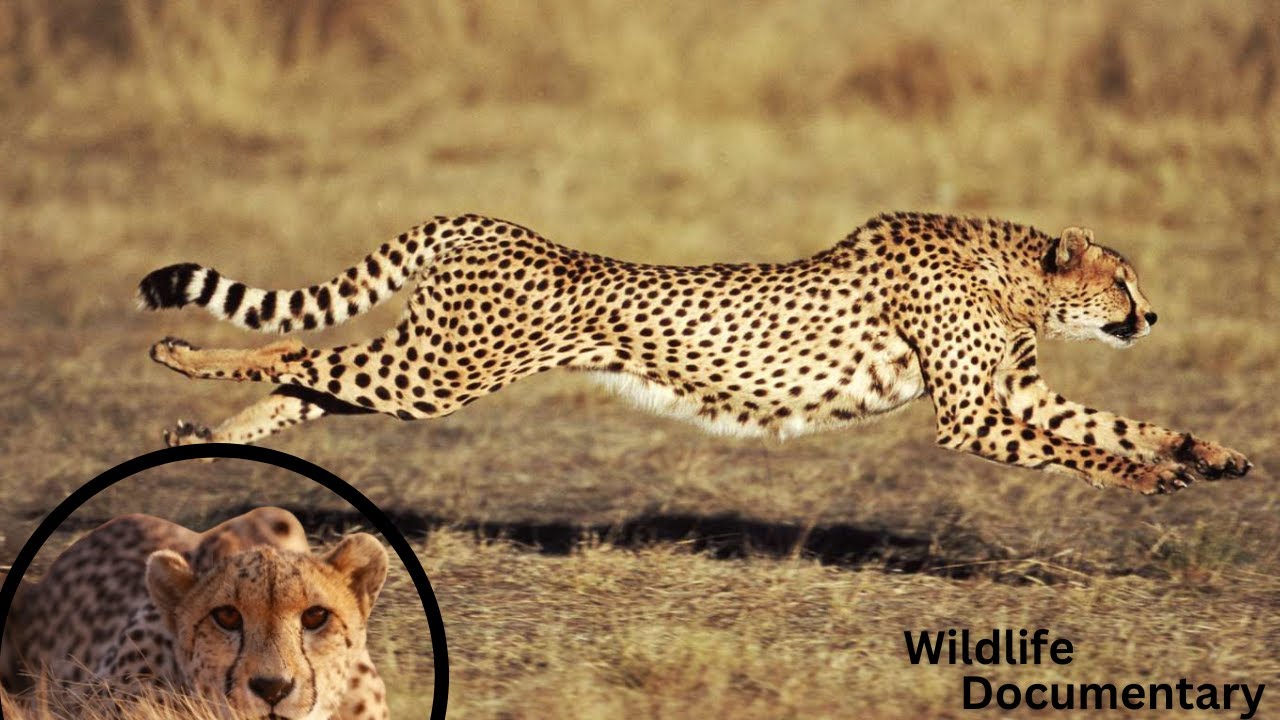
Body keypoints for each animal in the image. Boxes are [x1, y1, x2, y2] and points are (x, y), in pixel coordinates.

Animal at [137, 211, 1251, 494]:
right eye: (1121, 282)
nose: (1150, 317)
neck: (1013, 272)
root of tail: (486, 222)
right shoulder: (970, 415)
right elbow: (1081, 448)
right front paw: (1146, 481)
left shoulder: (1011, 395)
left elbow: (1114, 423)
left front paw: (1208, 454)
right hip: (441, 372)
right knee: (290, 342)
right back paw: (180, 358)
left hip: (427, 369)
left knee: (304, 381)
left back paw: (196, 428)